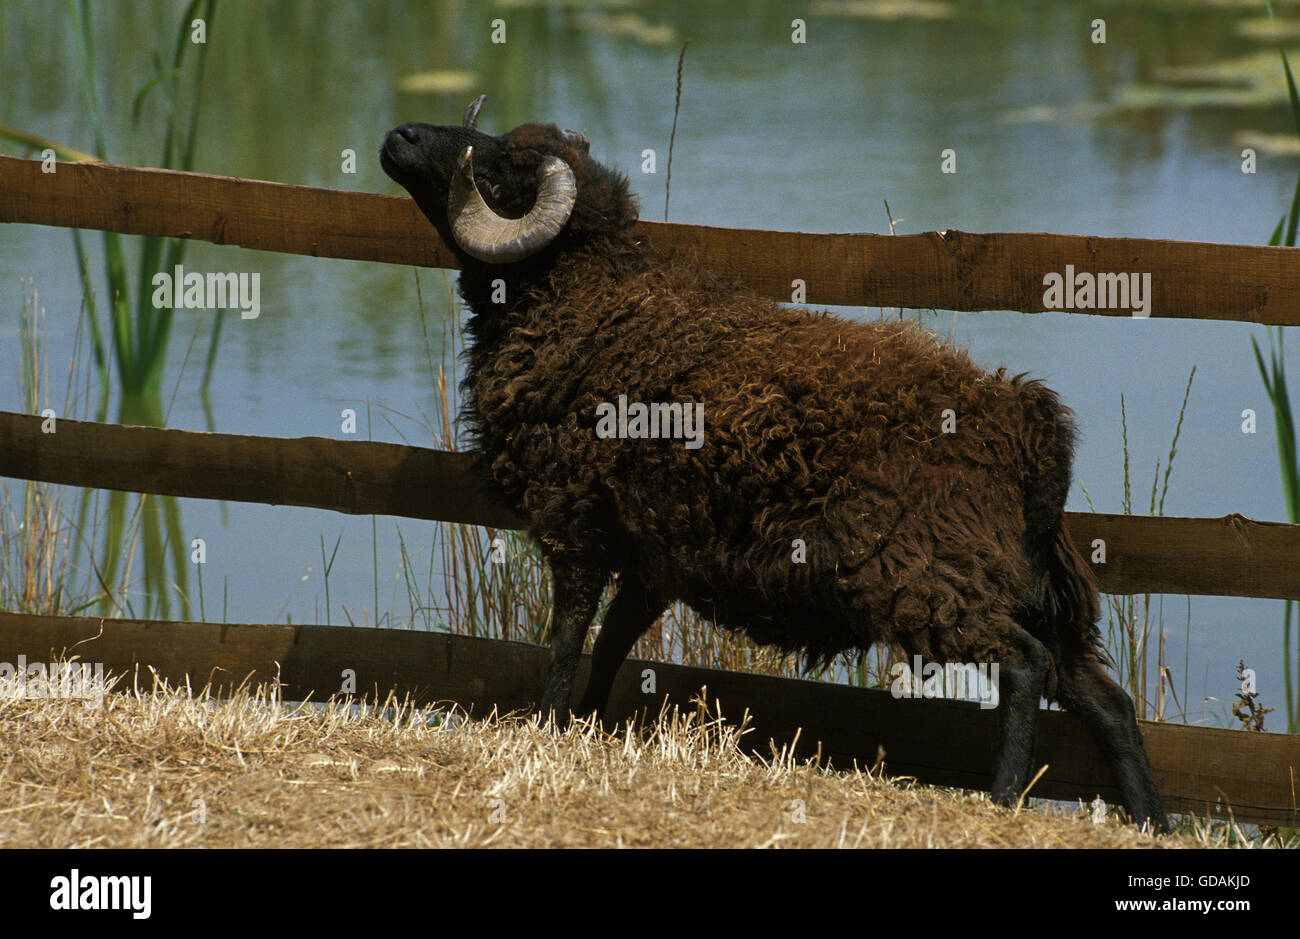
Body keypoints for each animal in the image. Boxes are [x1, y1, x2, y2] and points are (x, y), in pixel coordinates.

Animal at [380, 97, 1169, 832]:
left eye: (494, 171)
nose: (397, 136)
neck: (587, 299)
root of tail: (1024, 423)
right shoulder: (652, 553)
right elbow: (611, 645)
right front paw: (595, 728)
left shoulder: (572, 516)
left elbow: (568, 638)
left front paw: (547, 728)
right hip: (1032, 589)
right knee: (1105, 699)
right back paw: (1150, 818)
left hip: (927, 572)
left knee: (1023, 664)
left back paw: (1003, 799)